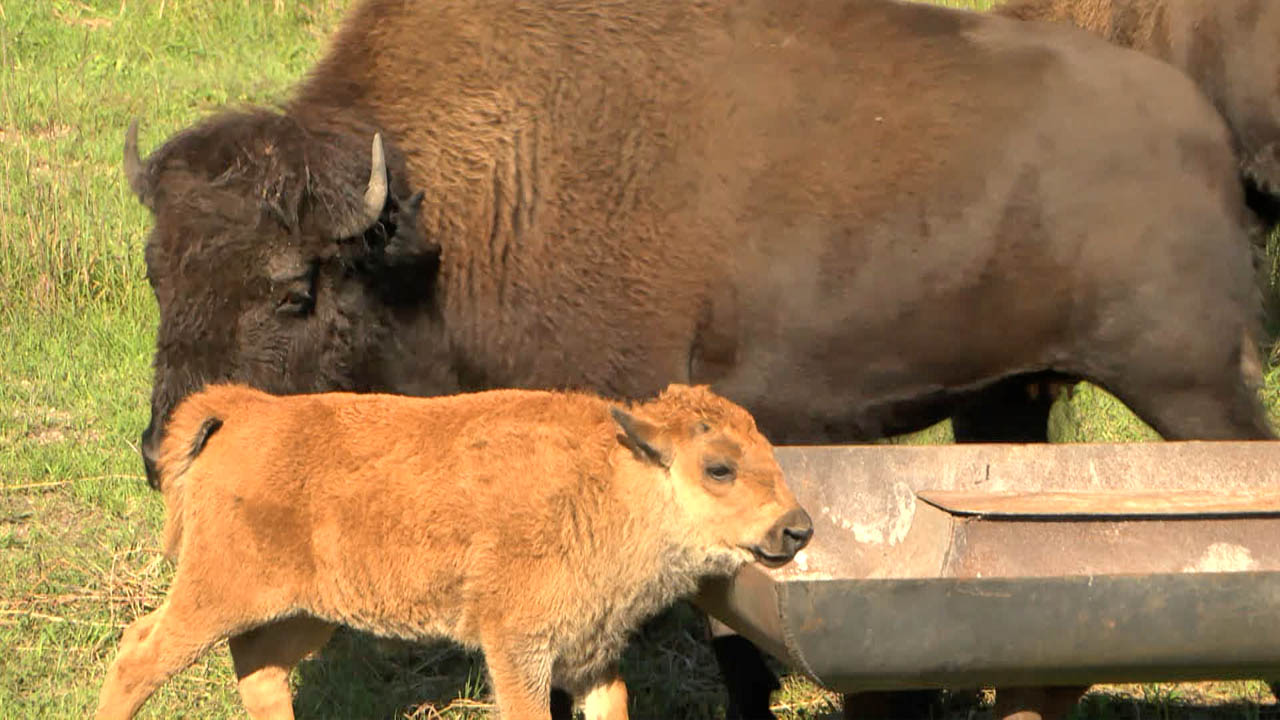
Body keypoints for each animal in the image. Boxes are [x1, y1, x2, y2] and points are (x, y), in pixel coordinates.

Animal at [94, 383, 812, 720]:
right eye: (718, 467)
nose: (797, 528)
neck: (610, 478)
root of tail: (247, 411)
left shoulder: (591, 652)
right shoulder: (517, 649)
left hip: (302, 614)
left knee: (259, 672)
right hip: (216, 596)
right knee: (137, 656)